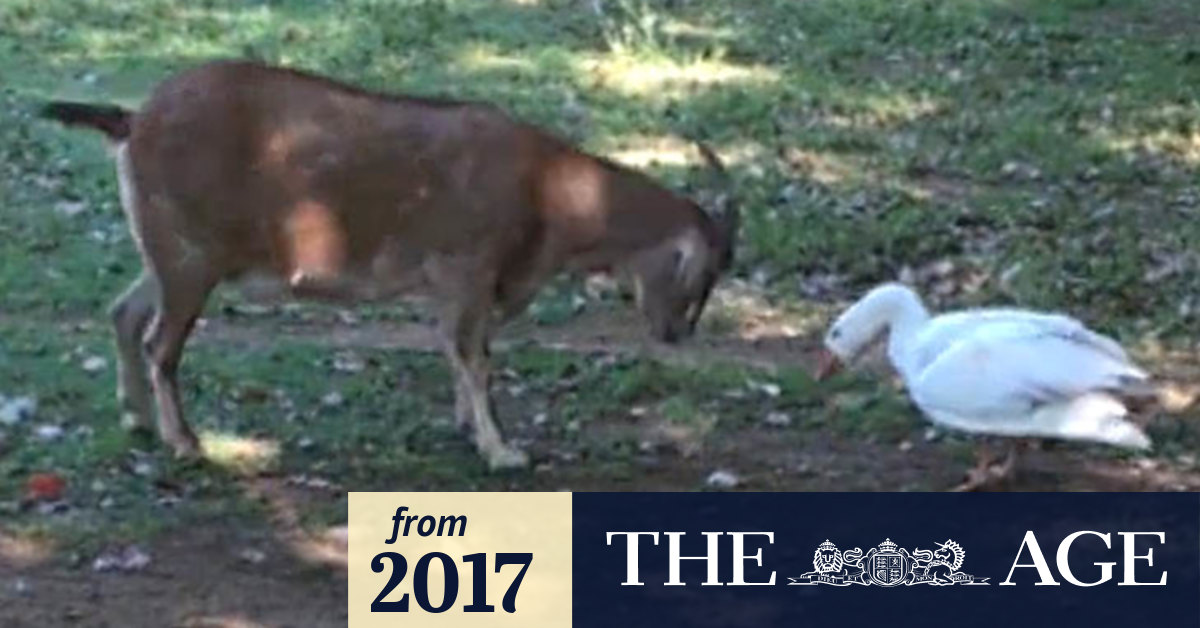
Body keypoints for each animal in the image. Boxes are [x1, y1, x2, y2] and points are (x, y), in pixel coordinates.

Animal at [40, 60, 738, 470]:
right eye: (703, 273)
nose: (677, 334)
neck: (548, 191)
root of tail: (133, 122)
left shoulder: (460, 287)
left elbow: (460, 350)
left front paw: (468, 428)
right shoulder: (467, 268)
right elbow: (475, 356)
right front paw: (501, 450)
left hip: (172, 252)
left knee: (125, 314)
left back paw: (136, 419)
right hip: (190, 257)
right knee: (160, 343)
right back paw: (184, 440)